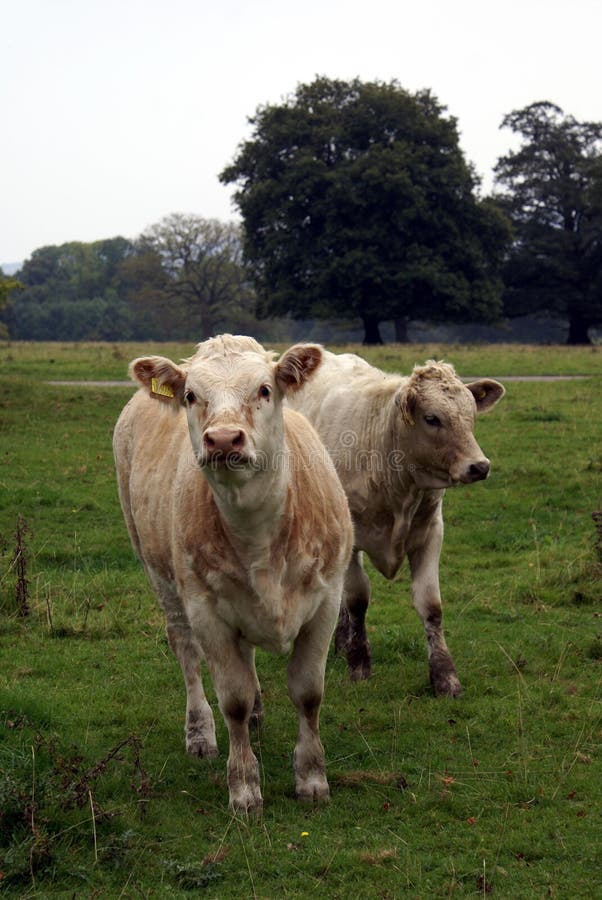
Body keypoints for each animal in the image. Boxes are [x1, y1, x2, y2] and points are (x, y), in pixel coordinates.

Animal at [113, 335, 353, 813]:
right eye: (191, 395)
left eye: (264, 389)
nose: (223, 438)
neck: (260, 534)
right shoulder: (207, 611)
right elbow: (233, 699)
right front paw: (243, 788)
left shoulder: (326, 600)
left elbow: (308, 692)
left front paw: (312, 778)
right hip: (157, 570)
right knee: (186, 651)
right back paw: (200, 733)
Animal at [287, 350, 505, 697]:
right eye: (432, 418)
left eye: (471, 415)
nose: (479, 466)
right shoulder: (353, 538)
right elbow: (358, 599)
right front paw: (359, 664)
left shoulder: (430, 533)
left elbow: (431, 605)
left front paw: (445, 677)